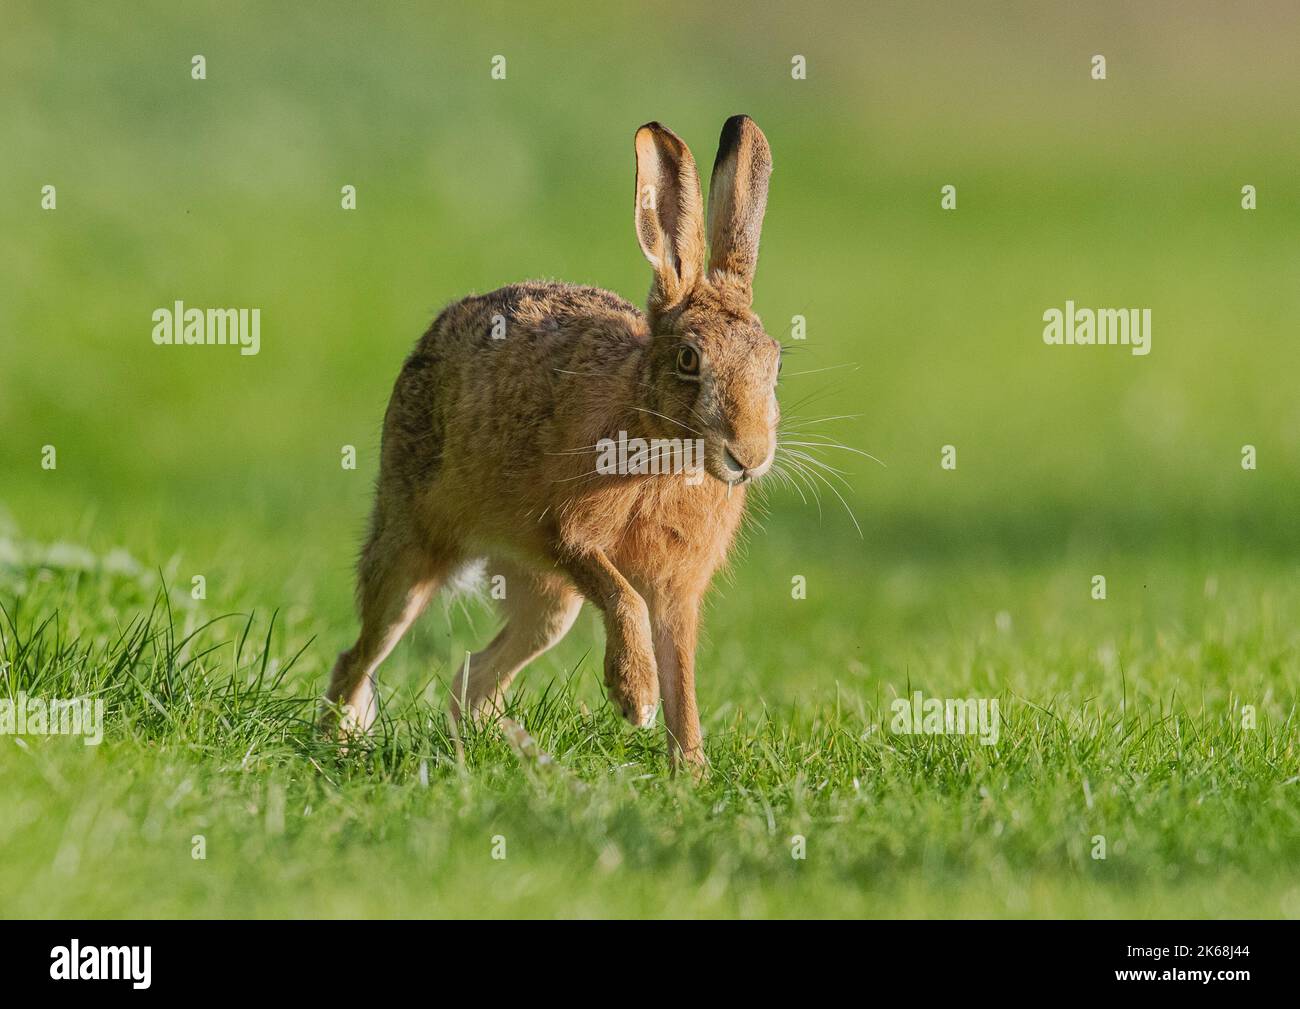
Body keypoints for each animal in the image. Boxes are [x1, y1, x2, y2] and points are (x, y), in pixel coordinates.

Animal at [321, 115, 780, 772]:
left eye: (774, 362)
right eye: (690, 360)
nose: (750, 456)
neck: (660, 441)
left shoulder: (676, 590)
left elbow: (685, 684)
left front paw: (689, 771)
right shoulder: (565, 535)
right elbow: (623, 599)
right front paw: (635, 700)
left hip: (547, 601)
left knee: (472, 680)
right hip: (413, 550)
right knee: (361, 654)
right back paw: (340, 744)